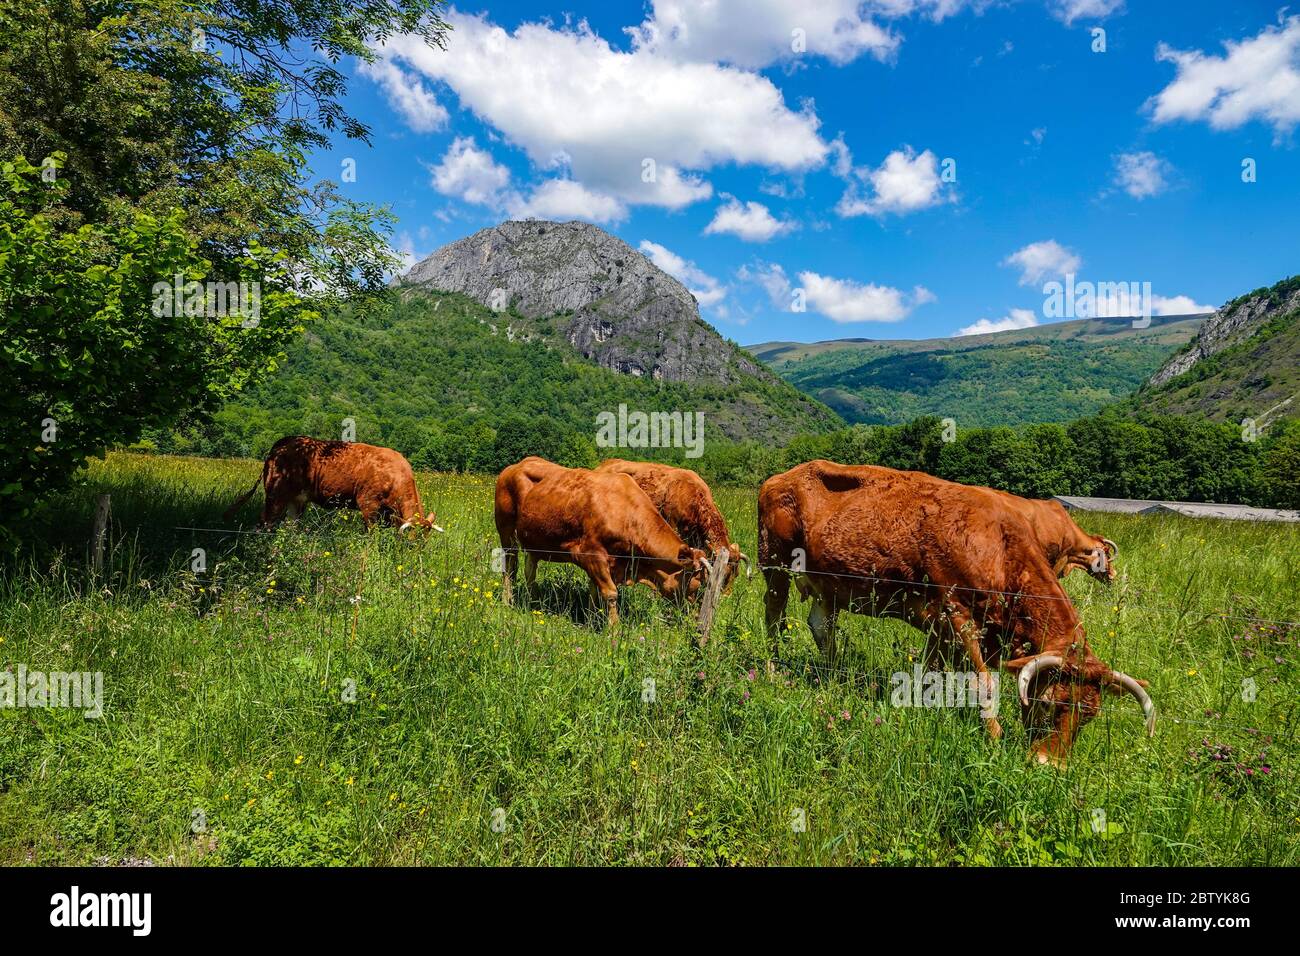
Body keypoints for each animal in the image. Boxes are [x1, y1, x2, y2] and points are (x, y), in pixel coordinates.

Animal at [223, 436, 442, 532]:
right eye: (411, 542)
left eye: (424, 543)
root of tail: (282, 442)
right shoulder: (368, 505)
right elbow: (372, 534)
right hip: (276, 495)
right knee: (265, 522)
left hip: (296, 500)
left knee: (290, 525)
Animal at [494, 456, 708, 626]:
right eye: (697, 583)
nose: (695, 615)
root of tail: (515, 466)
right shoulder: (592, 554)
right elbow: (610, 593)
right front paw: (614, 629)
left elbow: (594, 591)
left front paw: (591, 619)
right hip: (506, 531)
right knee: (509, 567)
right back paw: (508, 600)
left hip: (533, 538)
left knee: (530, 570)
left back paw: (533, 603)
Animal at [758, 460, 1154, 764]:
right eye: (1046, 702)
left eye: (1089, 715)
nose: (1048, 764)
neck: (999, 544)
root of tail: (781, 476)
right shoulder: (957, 616)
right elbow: (985, 683)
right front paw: (993, 737)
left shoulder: (942, 627)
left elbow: (930, 671)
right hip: (775, 564)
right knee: (773, 617)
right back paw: (774, 670)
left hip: (829, 585)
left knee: (821, 626)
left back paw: (832, 677)